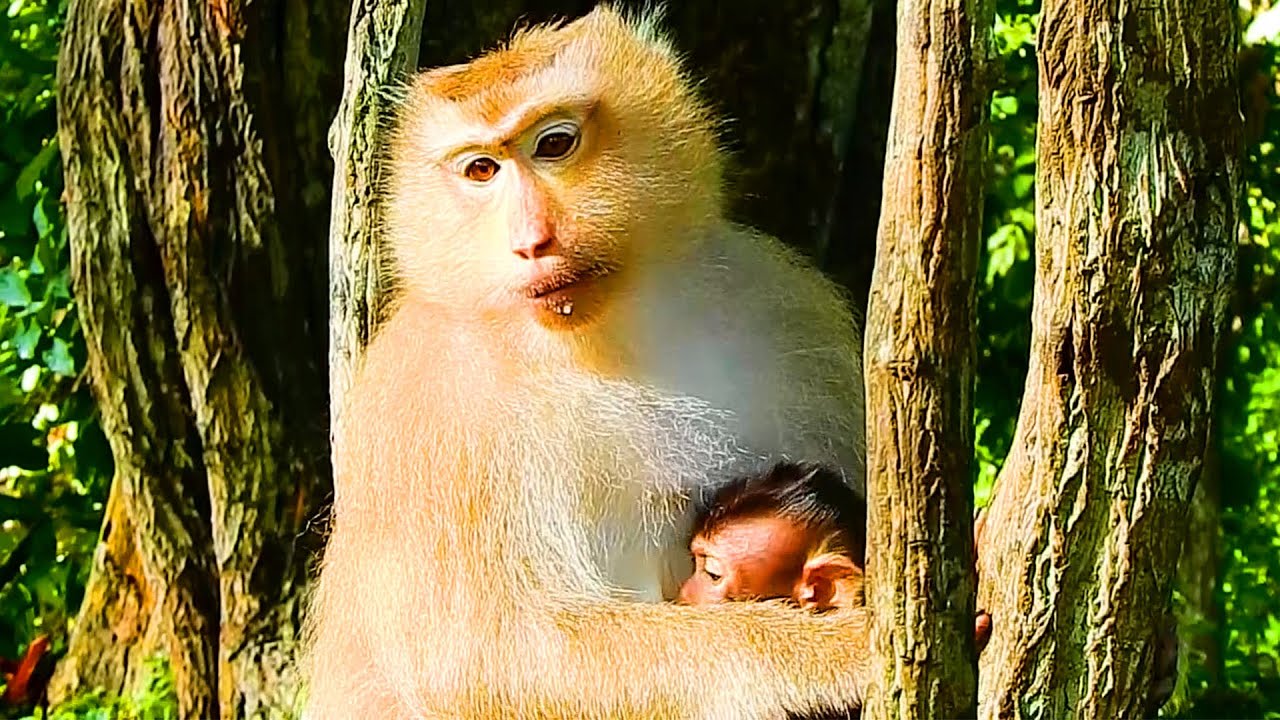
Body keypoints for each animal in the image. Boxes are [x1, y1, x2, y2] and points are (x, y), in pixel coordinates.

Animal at [303, 6, 872, 719]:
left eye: (553, 144)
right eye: (481, 170)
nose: (532, 241)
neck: (606, 337)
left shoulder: (788, 309)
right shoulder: (429, 411)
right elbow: (488, 664)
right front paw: (830, 653)